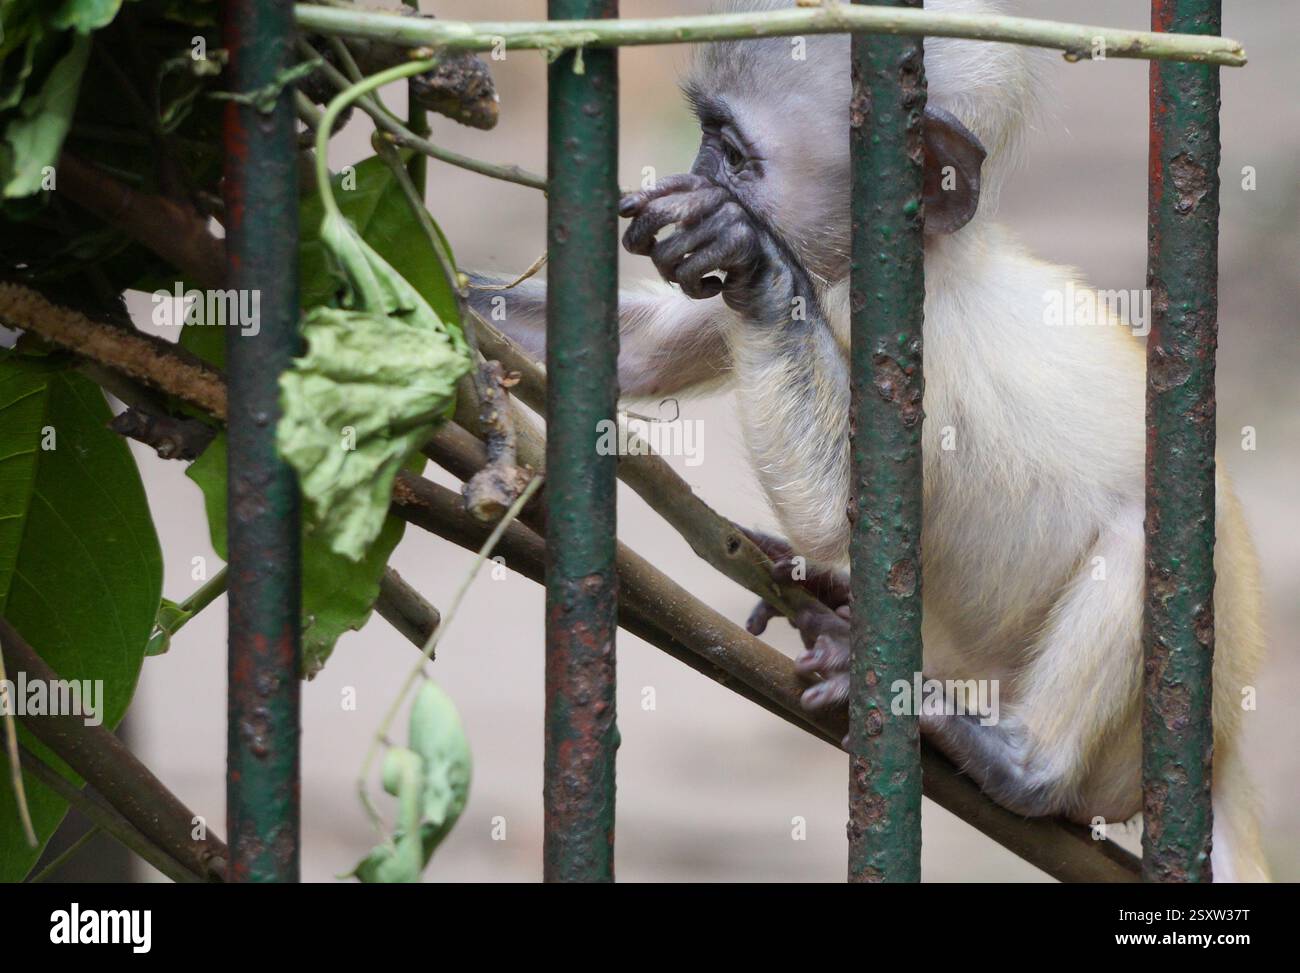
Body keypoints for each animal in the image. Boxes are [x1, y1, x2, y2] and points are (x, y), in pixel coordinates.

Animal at [467, 0, 1269, 881]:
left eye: (735, 156)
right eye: (706, 138)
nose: (690, 177)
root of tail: (1225, 746)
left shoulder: (918, 350)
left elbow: (838, 510)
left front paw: (746, 255)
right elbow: (633, 354)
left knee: (1143, 536)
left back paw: (1015, 760)